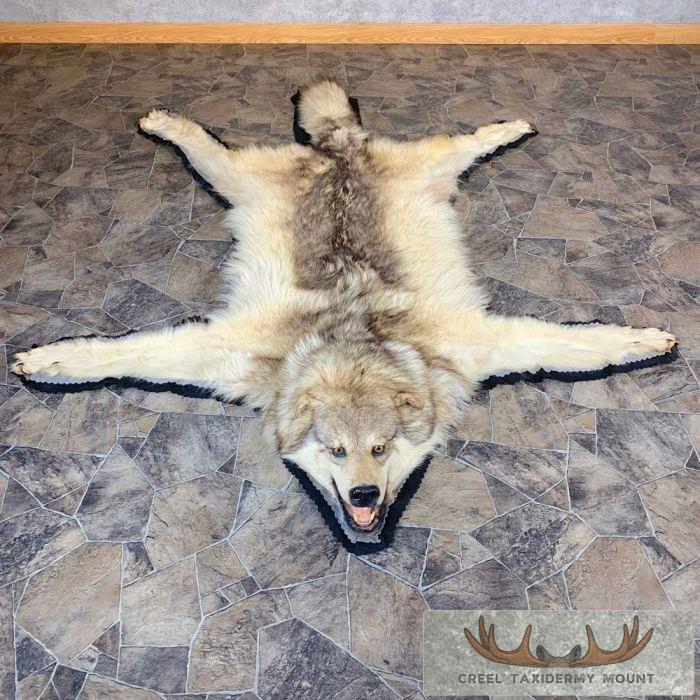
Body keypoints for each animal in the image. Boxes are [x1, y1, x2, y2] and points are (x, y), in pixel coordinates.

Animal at [11, 79, 676, 542]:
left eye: (380, 449)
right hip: (234, 179)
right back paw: (166, 123)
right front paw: (50, 360)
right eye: (334, 451)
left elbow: (579, 342)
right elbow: (116, 353)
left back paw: (506, 126)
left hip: (421, 167)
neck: (355, 337)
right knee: (202, 142)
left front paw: (644, 341)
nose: (362, 496)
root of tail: (337, 149)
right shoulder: (217, 352)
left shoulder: (481, 344)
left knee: (468, 142)